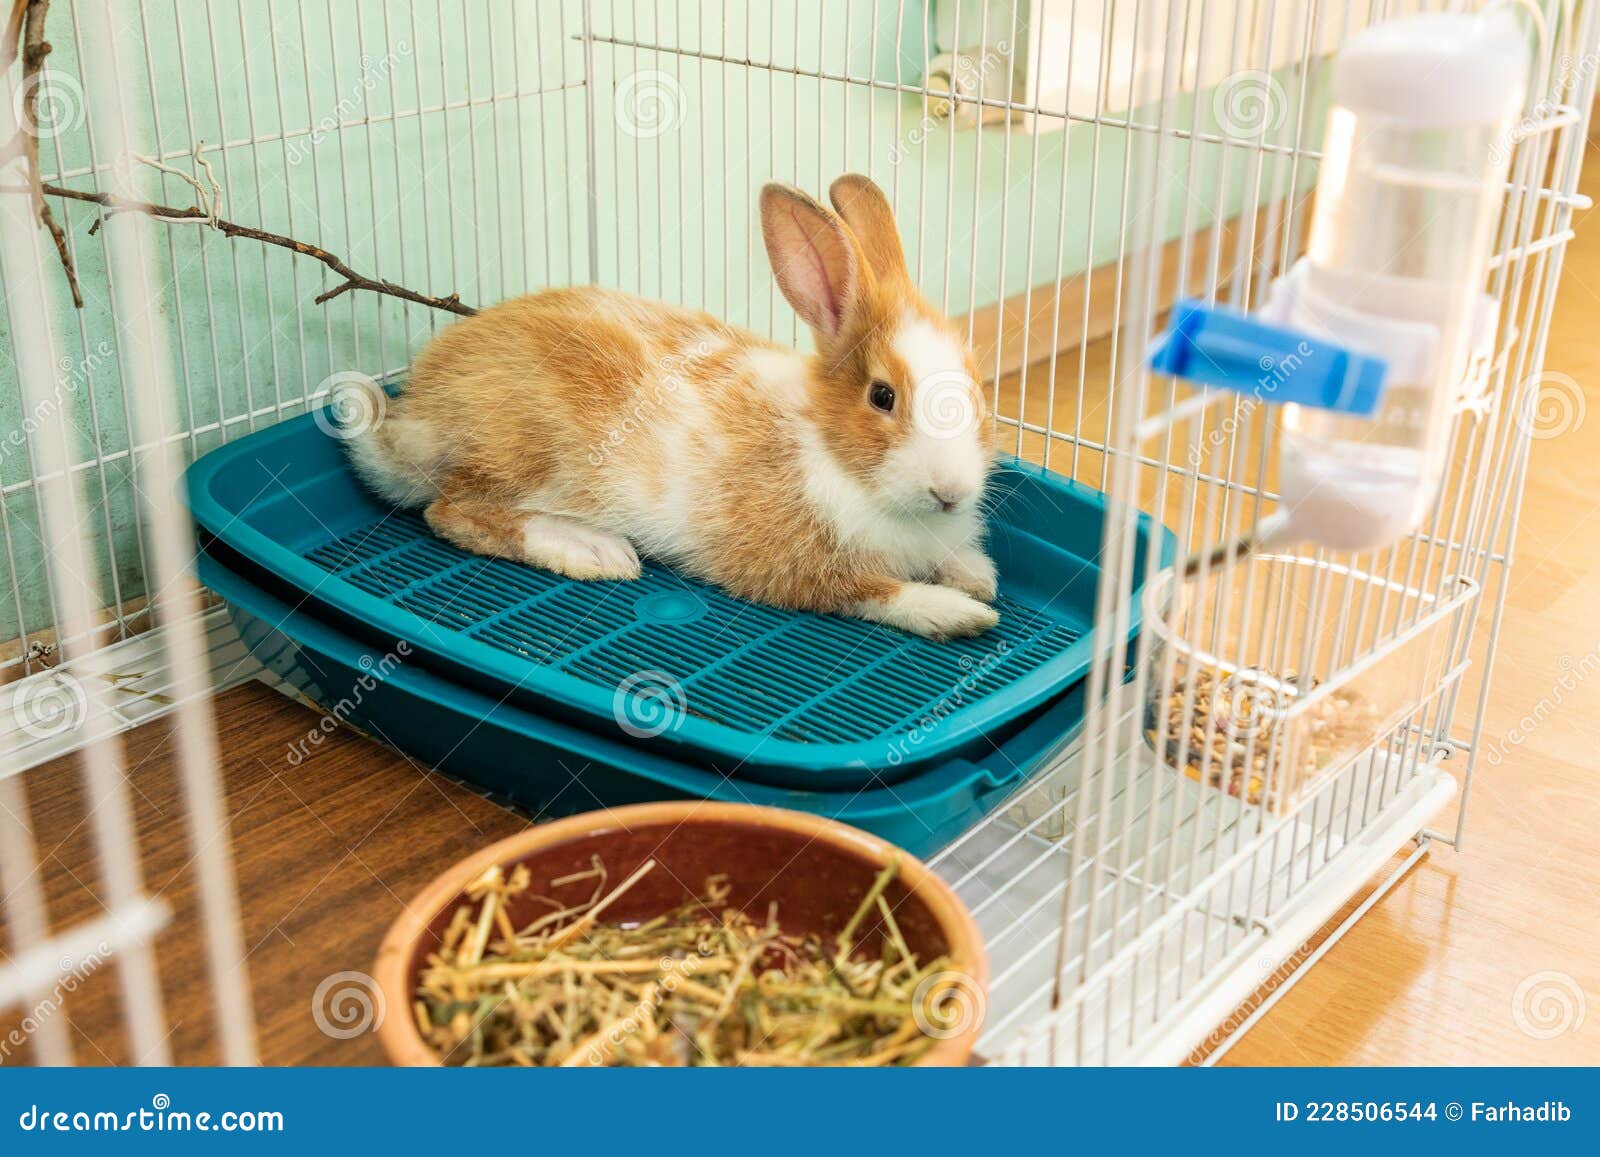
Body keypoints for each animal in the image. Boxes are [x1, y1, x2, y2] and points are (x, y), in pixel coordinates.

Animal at [345, 174, 1000, 640]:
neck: (833, 453)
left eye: (975, 386)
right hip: (523, 454)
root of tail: (413, 418)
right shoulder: (794, 568)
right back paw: (591, 551)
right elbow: (872, 592)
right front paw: (958, 613)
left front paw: (977, 576)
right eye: (882, 396)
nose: (951, 492)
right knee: (452, 512)